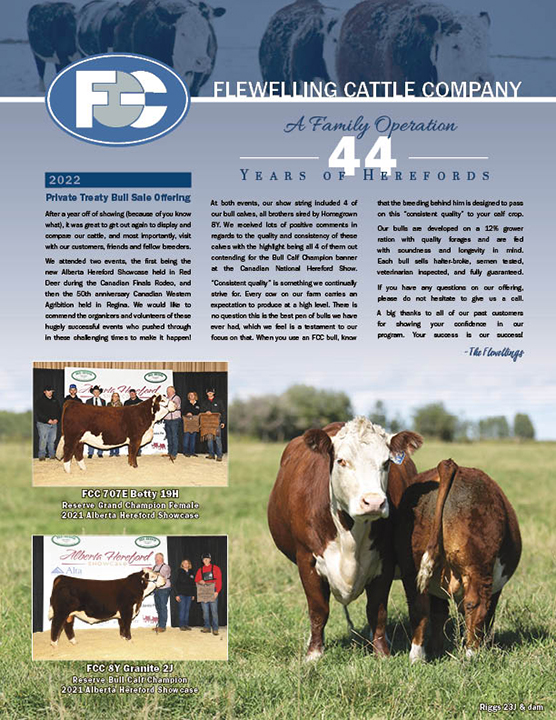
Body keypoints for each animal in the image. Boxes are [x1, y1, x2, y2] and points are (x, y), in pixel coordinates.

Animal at [268, 417, 423, 660]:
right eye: (341, 461)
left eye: (386, 463)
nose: (374, 502)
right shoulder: (307, 559)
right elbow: (318, 610)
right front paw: (314, 654)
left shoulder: (385, 561)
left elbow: (377, 610)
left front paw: (382, 653)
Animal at [395, 459, 522, 662]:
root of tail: (449, 465)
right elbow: (489, 615)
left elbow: (438, 613)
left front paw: (436, 649)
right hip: (477, 568)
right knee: (476, 604)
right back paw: (472, 654)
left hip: (411, 566)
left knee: (418, 605)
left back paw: (417, 656)